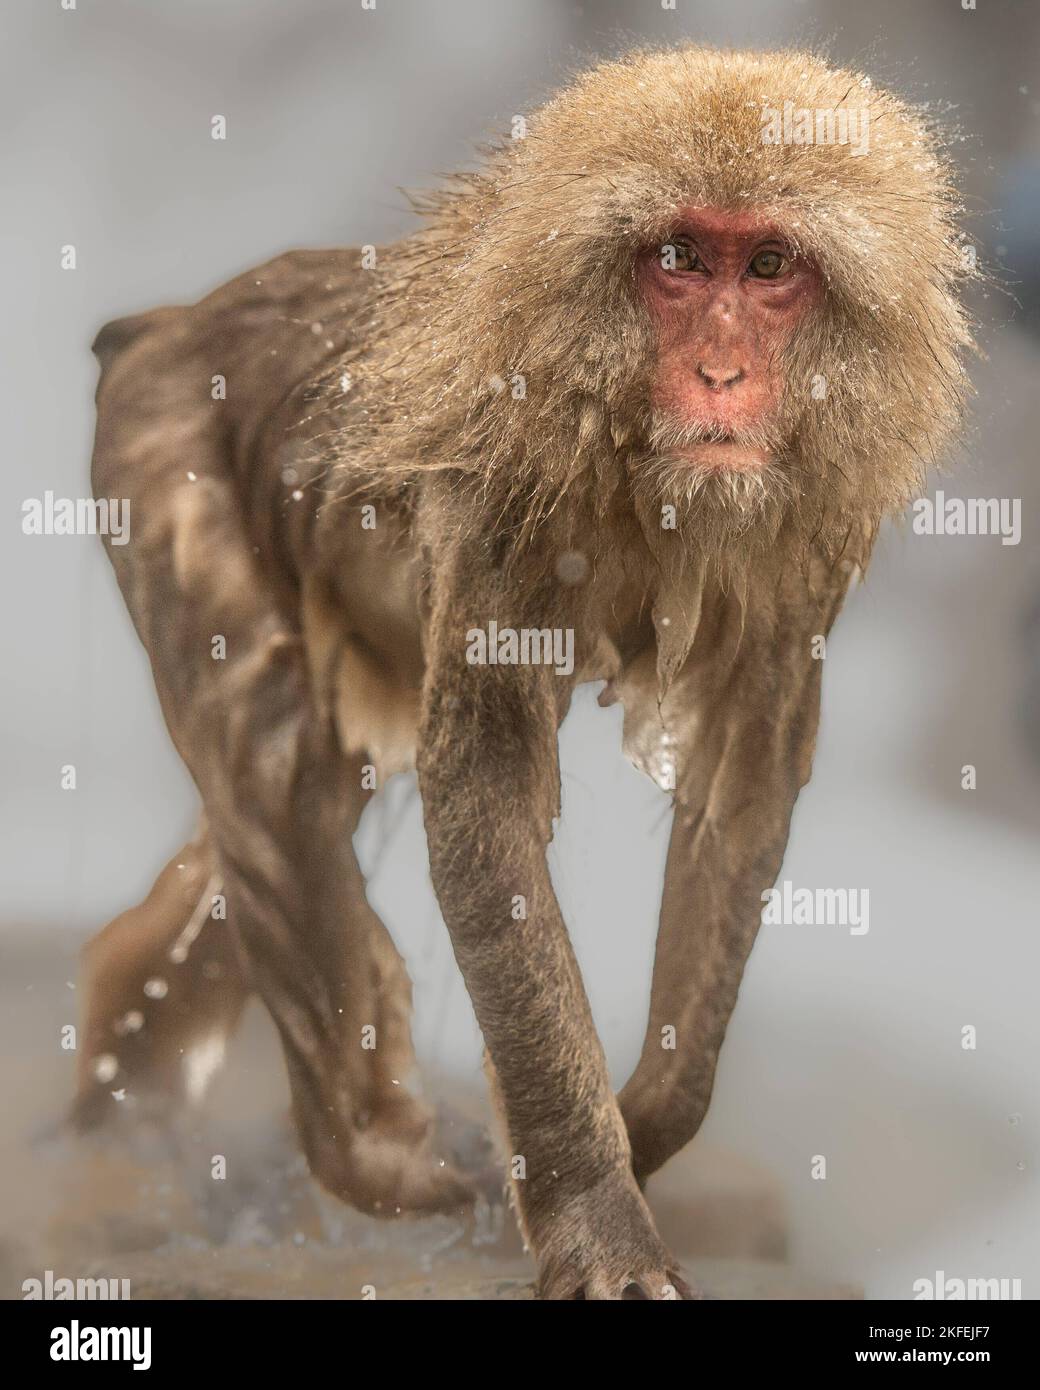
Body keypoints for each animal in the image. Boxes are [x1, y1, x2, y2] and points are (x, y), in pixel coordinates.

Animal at [76, 46, 975, 1299]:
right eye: (677, 260)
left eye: (770, 266)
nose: (720, 371)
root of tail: (169, 321)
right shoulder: (500, 487)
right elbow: (486, 808)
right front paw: (592, 1201)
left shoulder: (804, 522)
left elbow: (741, 790)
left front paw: (643, 1123)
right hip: (163, 450)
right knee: (276, 765)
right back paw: (364, 1152)